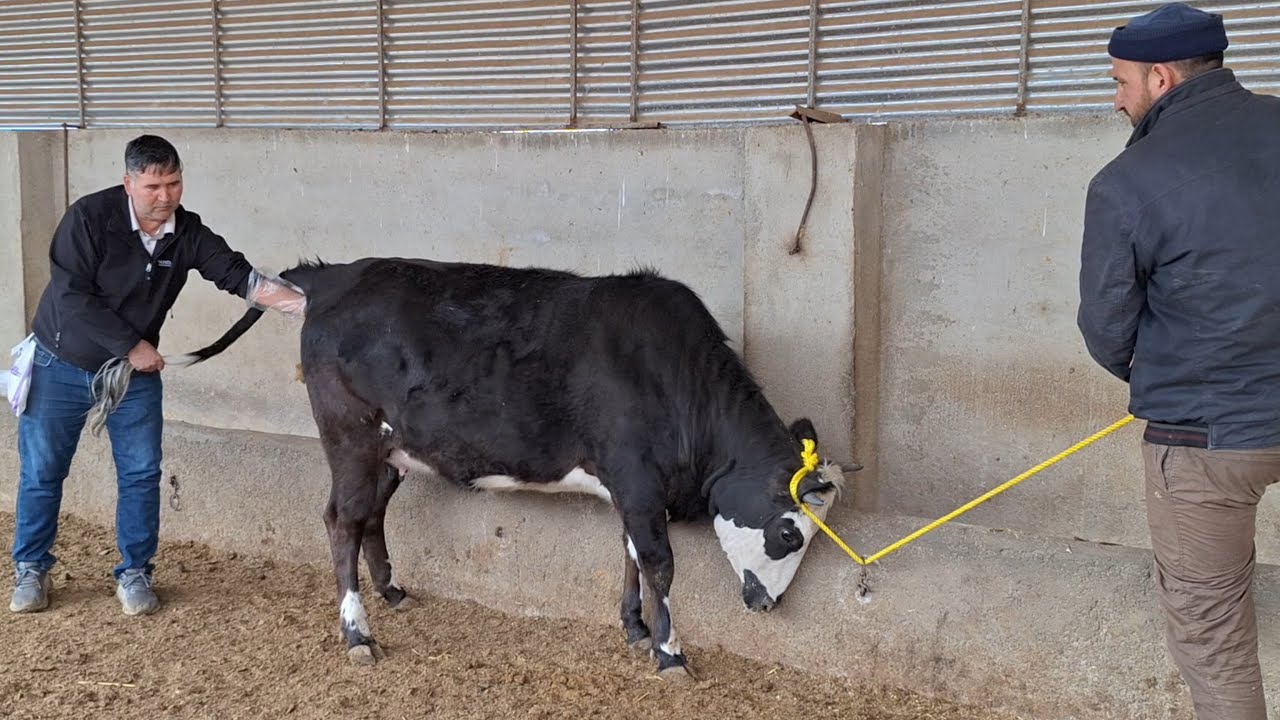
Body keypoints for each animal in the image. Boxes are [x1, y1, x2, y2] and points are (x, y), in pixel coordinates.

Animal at [179, 257, 856, 678]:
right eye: (790, 532)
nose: (767, 606)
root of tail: (334, 277)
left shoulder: (630, 487)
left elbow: (631, 555)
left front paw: (635, 627)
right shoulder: (639, 480)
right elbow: (660, 562)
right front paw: (670, 652)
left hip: (392, 450)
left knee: (370, 514)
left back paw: (392, 592)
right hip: (350, 436)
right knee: (341, 521)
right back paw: (358, 633)